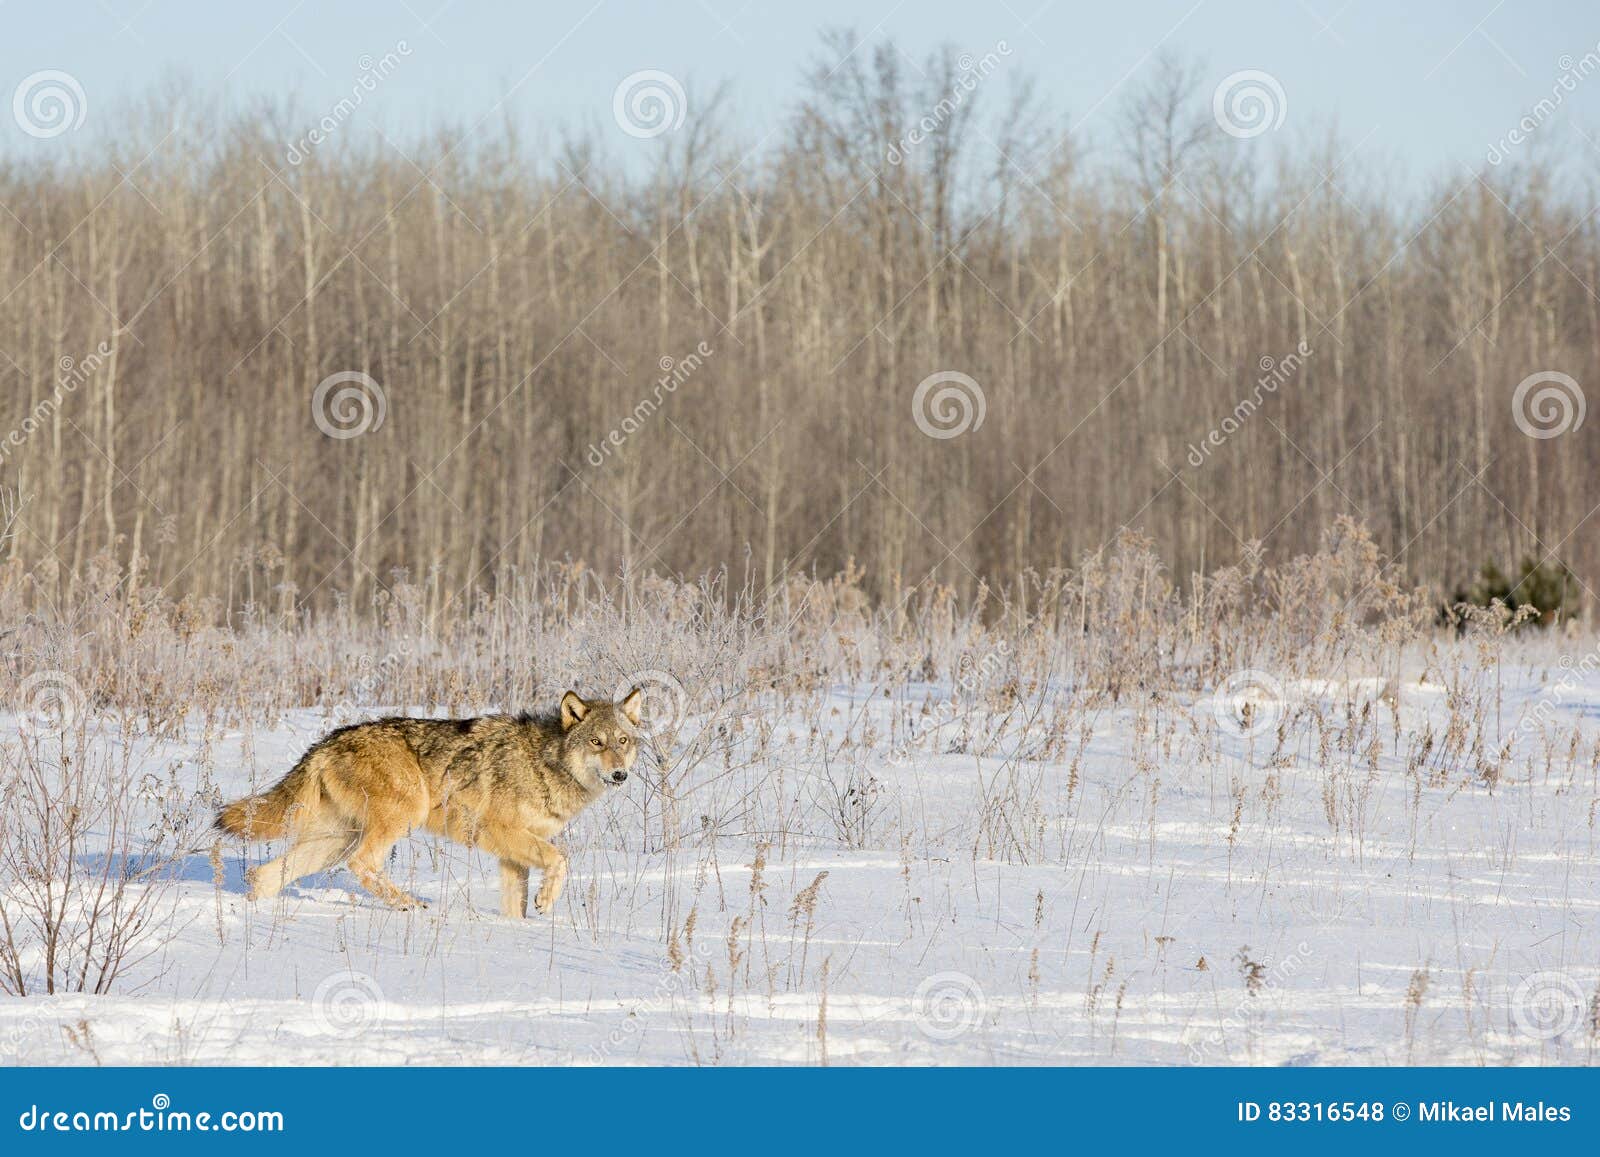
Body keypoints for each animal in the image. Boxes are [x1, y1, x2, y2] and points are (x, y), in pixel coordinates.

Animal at [215, 688, 642, 917]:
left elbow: (514, 905)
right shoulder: (499, 833)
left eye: (622, 741)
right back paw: (409, 905)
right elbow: (560, 859)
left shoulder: (511, 854)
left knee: (264, 875)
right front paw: (546, 900)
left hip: (333, 842)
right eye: (596, 742)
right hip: (397, 820)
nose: (620, 775)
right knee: (363, 865)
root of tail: (327, 741)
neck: (545, 762)